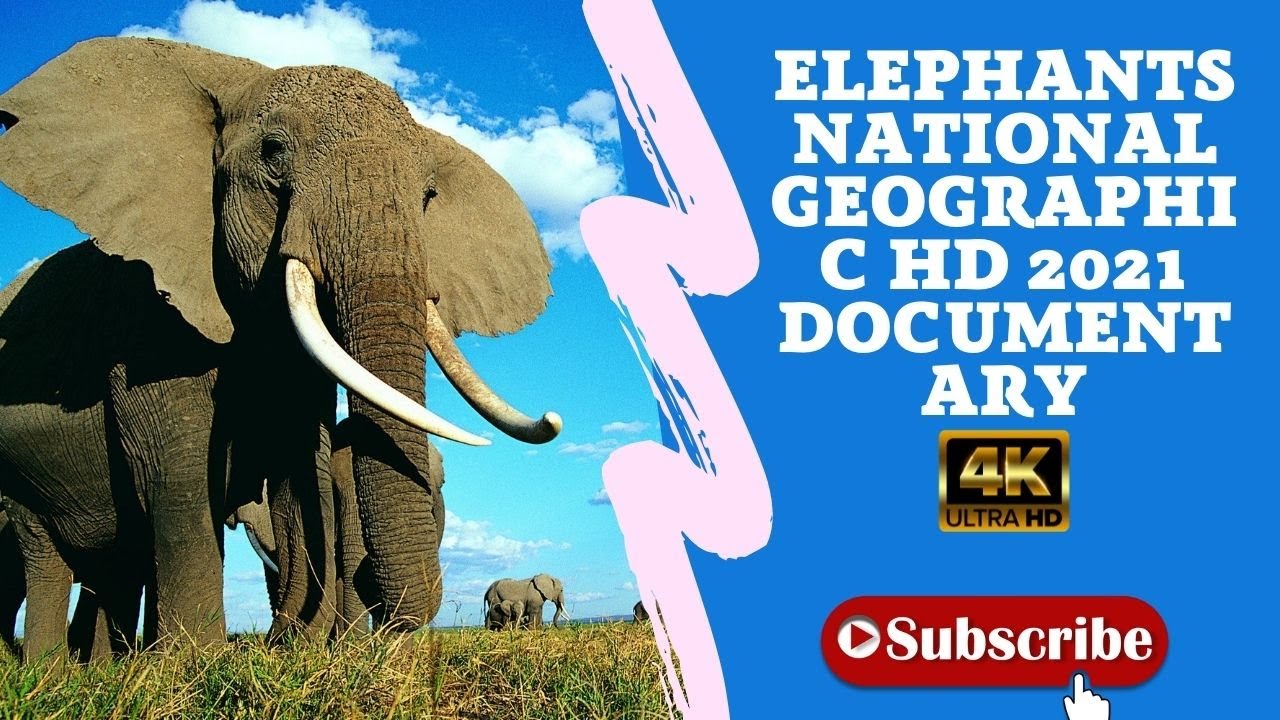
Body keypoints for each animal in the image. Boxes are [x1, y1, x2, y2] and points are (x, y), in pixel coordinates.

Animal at [0, 36, 561, 644]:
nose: (276, 632)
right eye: (272, 153)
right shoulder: (144, 319)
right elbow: (179, 477)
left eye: (430, 195)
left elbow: (299, 456)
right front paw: (196, 660)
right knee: (49, 557)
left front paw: (299, 646)